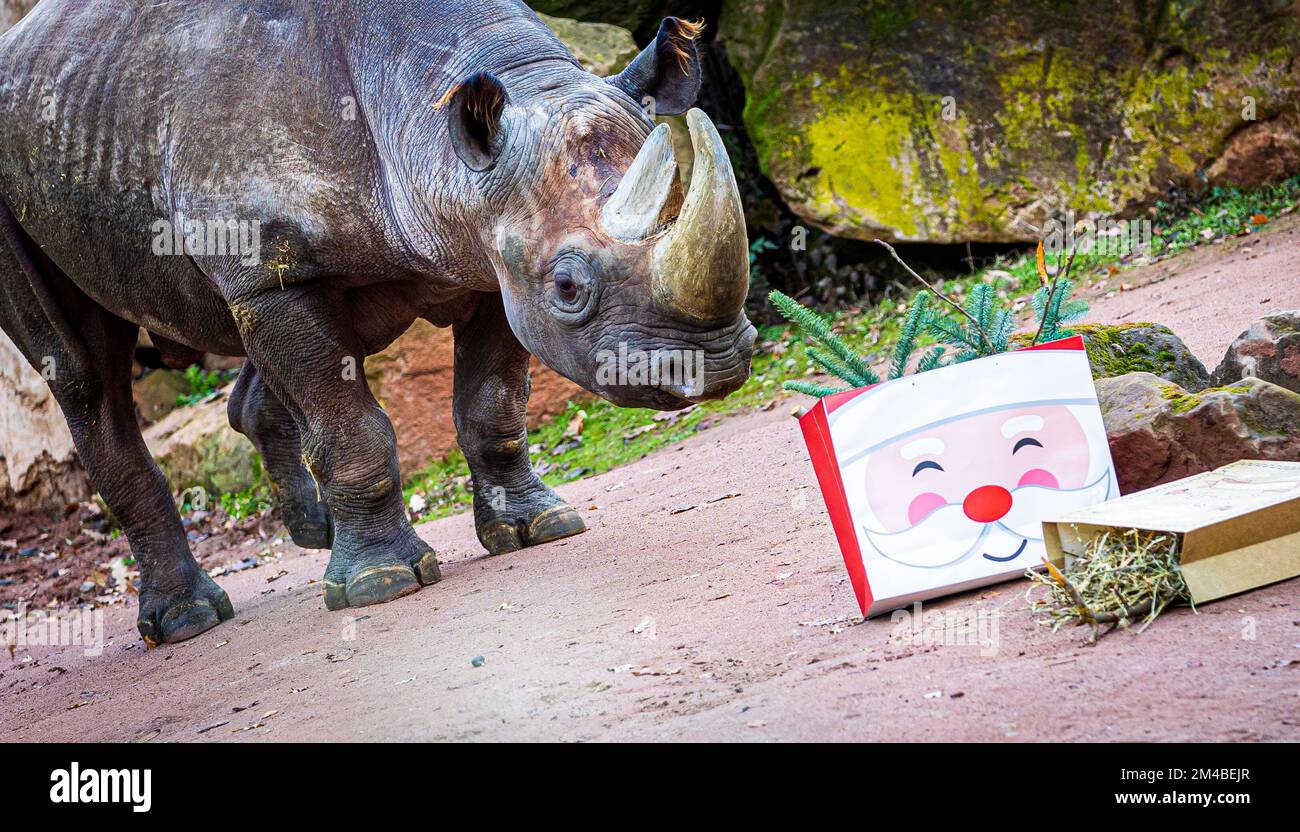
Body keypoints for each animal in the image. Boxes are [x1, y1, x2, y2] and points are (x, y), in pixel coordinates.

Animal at [0, 0, 755, 644]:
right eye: (568, 287)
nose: (715, 365)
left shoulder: (489, 253)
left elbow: (492, 404)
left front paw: (539, 526)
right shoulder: (275, 271)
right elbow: (352, 427)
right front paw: (382, 583)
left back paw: (316, 532)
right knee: (81, 371)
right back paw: (187, 621)